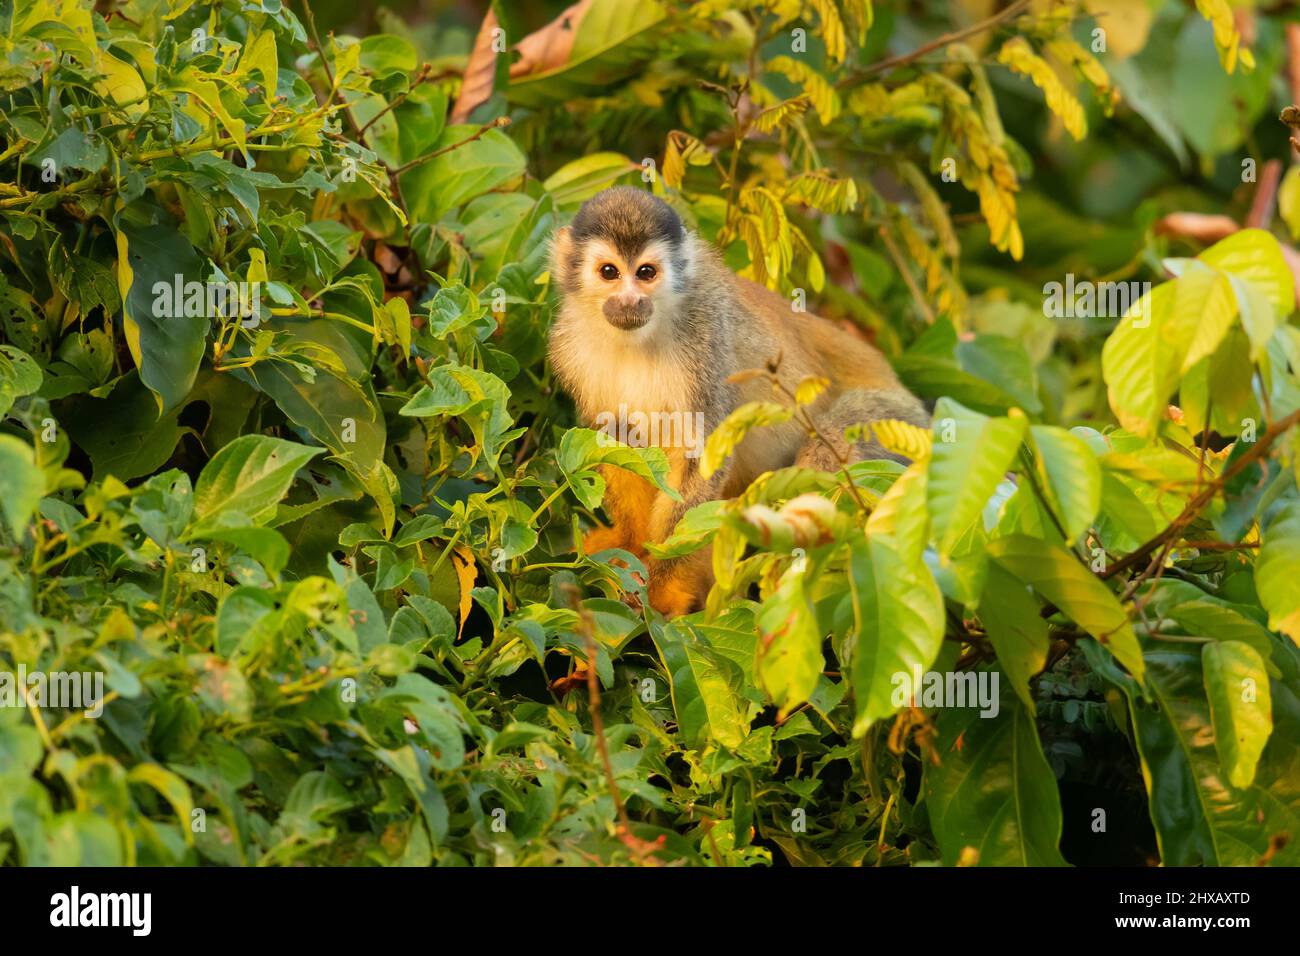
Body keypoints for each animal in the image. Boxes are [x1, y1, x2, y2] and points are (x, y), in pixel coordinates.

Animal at [548, 186, 929, 618]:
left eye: (645, 273)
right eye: (609, 272)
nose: (629, 301)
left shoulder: (706, 340)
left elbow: (702, 456)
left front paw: (660, 585)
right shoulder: (570, 347)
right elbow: (616, 444)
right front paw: (627, 545)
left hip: (898, 426)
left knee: (826, 448)